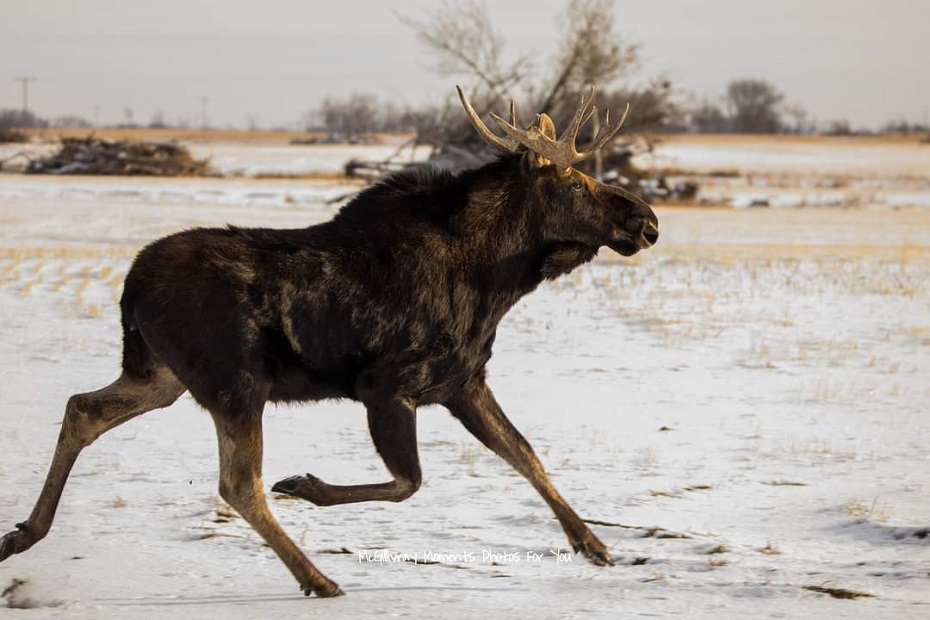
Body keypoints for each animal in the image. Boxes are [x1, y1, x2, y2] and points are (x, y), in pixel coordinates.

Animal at [0, 86, 658, 597]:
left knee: (82, 409)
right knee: (238, 483)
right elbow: (409, 481)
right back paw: (316, 576)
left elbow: (526, 455)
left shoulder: (464, 382)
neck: (497, 279)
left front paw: (594, 545)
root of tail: (130, 286)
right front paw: (306, 486)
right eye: (575, 181)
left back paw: (23, 534)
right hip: (235, 383)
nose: (647, 221)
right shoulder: (385, 386)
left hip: (159, 375)